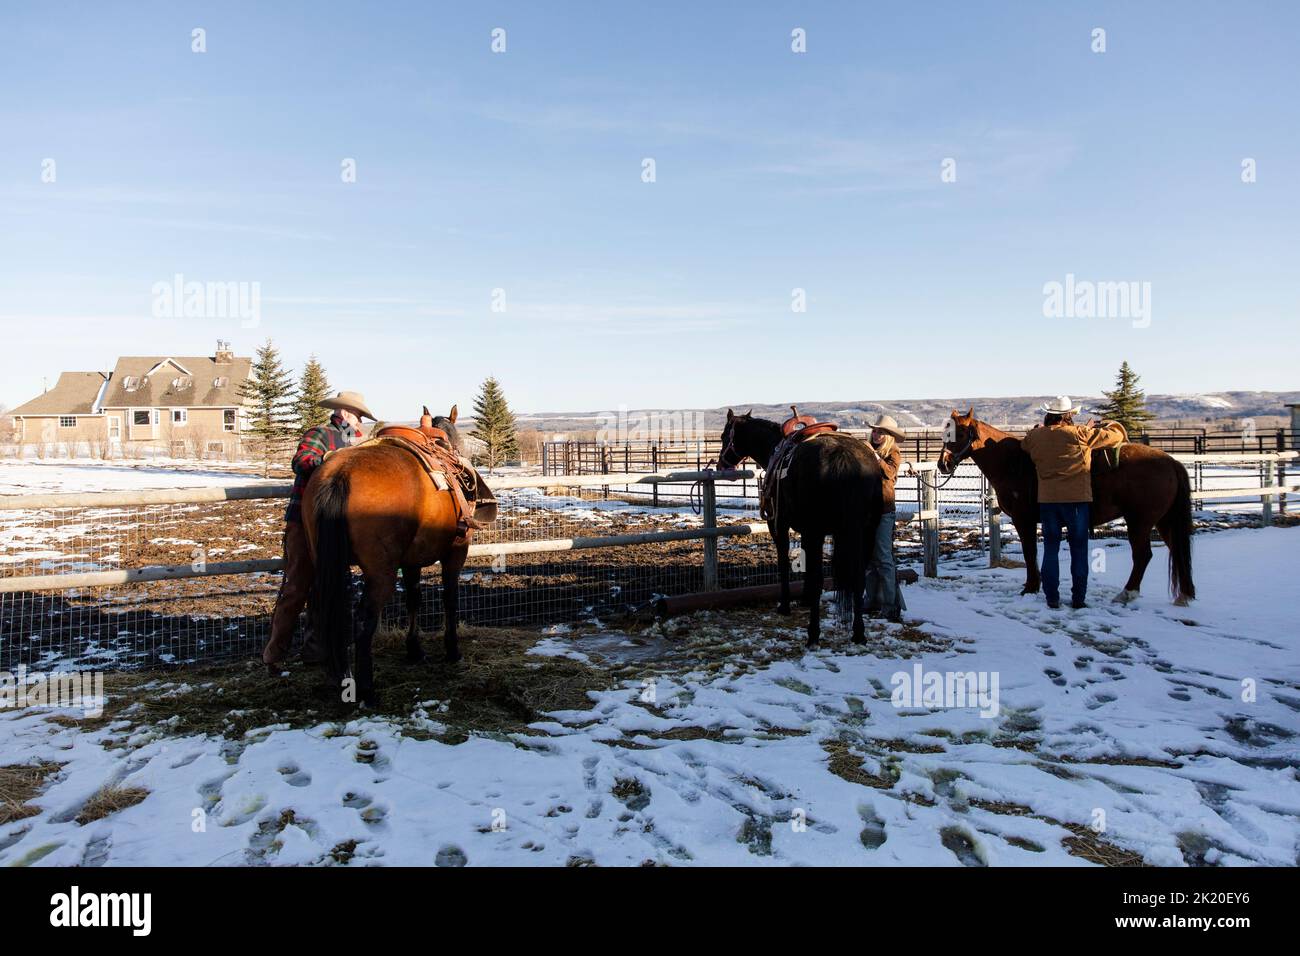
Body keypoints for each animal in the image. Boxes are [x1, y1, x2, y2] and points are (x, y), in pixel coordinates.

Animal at [305, 405, 483, 706]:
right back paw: (366, 689)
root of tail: (340, 474)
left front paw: (414, 650)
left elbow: (413, 599)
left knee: (324, 612)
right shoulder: (456, 552)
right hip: (381, 574)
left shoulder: (411, 561)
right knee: (364, 618)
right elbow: (450, 598)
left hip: (323, 563)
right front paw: (452, 649)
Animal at [717, 409, 883, 645]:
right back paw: (858, 633)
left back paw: (813, 633)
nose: (720, 465)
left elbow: (784, 562)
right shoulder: (807, 531)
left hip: (819, 531)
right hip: (867, 530)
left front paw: (784, 605)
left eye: (724, 436)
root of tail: (842, 457)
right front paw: (803, 599)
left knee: (819, 579)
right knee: (858, 578)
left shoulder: (778, 524)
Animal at [937, 409, 1194, 605]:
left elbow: (1029, 552)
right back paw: (1184, 595)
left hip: (1139, 522)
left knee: (1143, 555)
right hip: (1164, 521)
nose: (943, 464)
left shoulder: (1023, 519)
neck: (1013, 464)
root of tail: (1172, 462)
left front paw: (1030, 587)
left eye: (960, 433)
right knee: (1176, 549)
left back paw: (1127, 593)